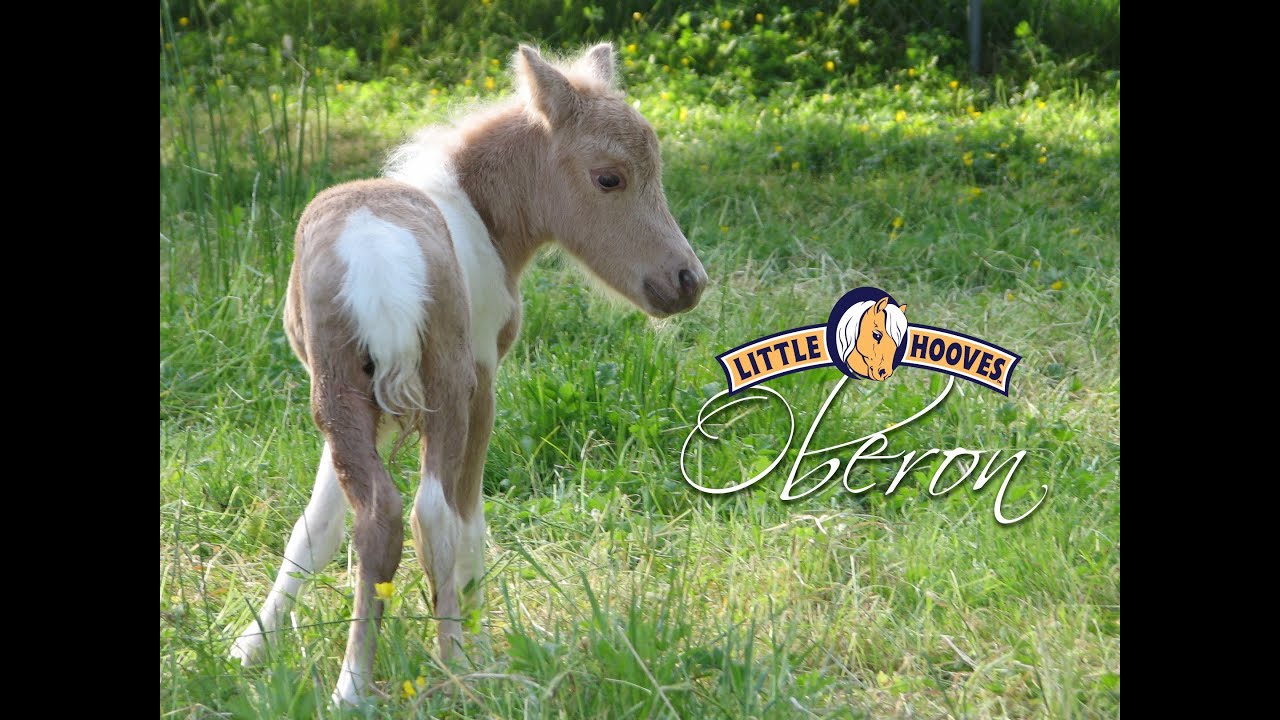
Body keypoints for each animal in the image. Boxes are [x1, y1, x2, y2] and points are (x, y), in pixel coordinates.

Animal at [228, 43, 707, 705]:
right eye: (609, 177)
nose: (687, 282)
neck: (476, 214)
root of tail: (381, 265)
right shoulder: (484, 375)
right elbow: (470, 524)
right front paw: (478, 640)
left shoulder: (352, 406)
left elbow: (315, 528)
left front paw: (251, 645)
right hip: (447, 387)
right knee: (433, 516)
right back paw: (456, 663)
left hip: (339, 391)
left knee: (378, 517)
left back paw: (352, 685)